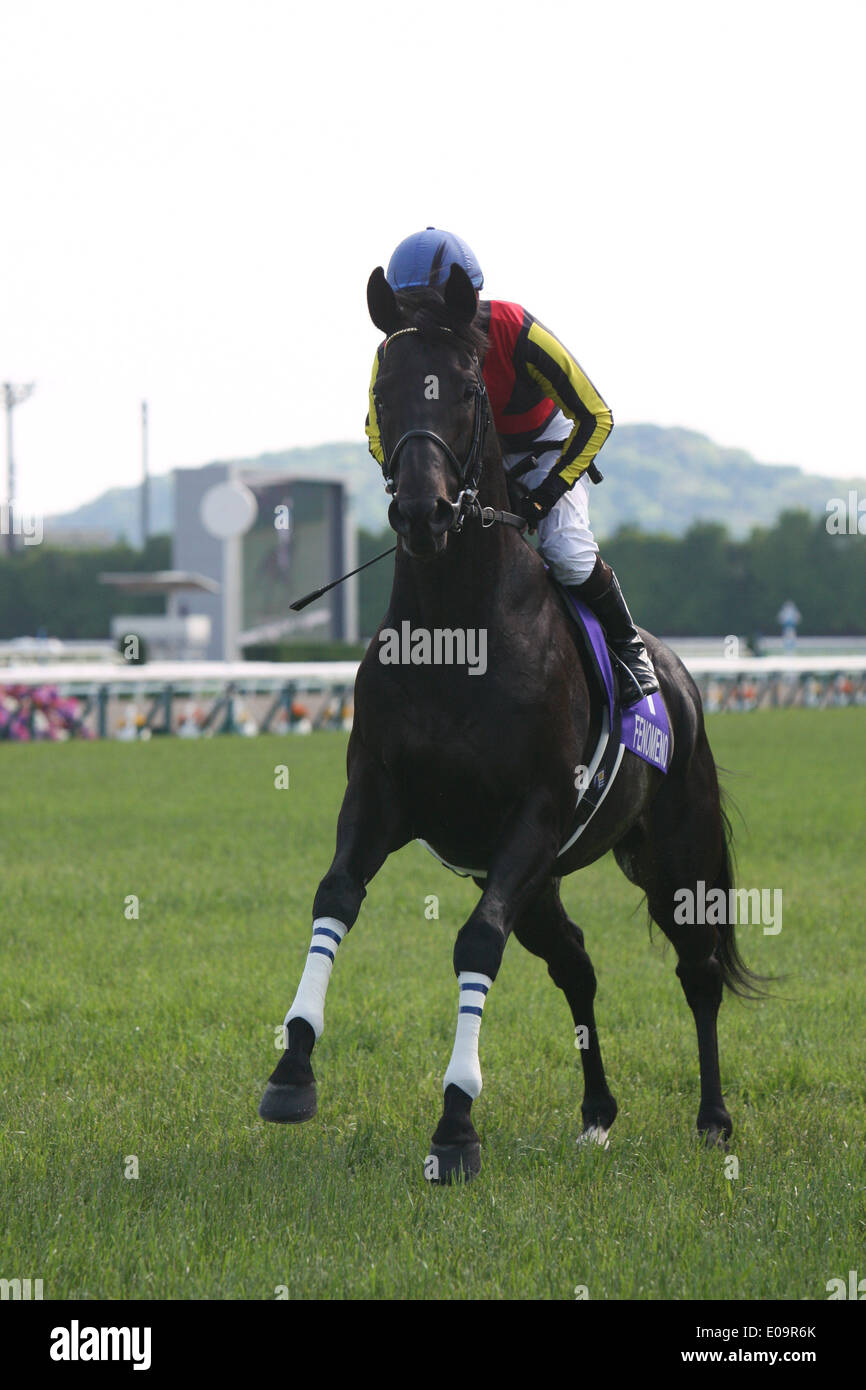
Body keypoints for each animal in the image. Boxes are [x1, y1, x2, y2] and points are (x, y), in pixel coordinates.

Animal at [258, 263, 762, 1182]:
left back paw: (713, 1119)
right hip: (546, 882)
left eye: (465, 389)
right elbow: (335, 895)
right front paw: (292, 1067)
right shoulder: (381, 796)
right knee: (578, 965)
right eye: (382, 390)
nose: (422, 513)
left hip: (674, 853)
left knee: (699, 970)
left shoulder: (534, 814)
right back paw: (597, 1113)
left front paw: (457, 1122)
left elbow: (475, 943)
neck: (457, 631)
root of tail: (681, 676)